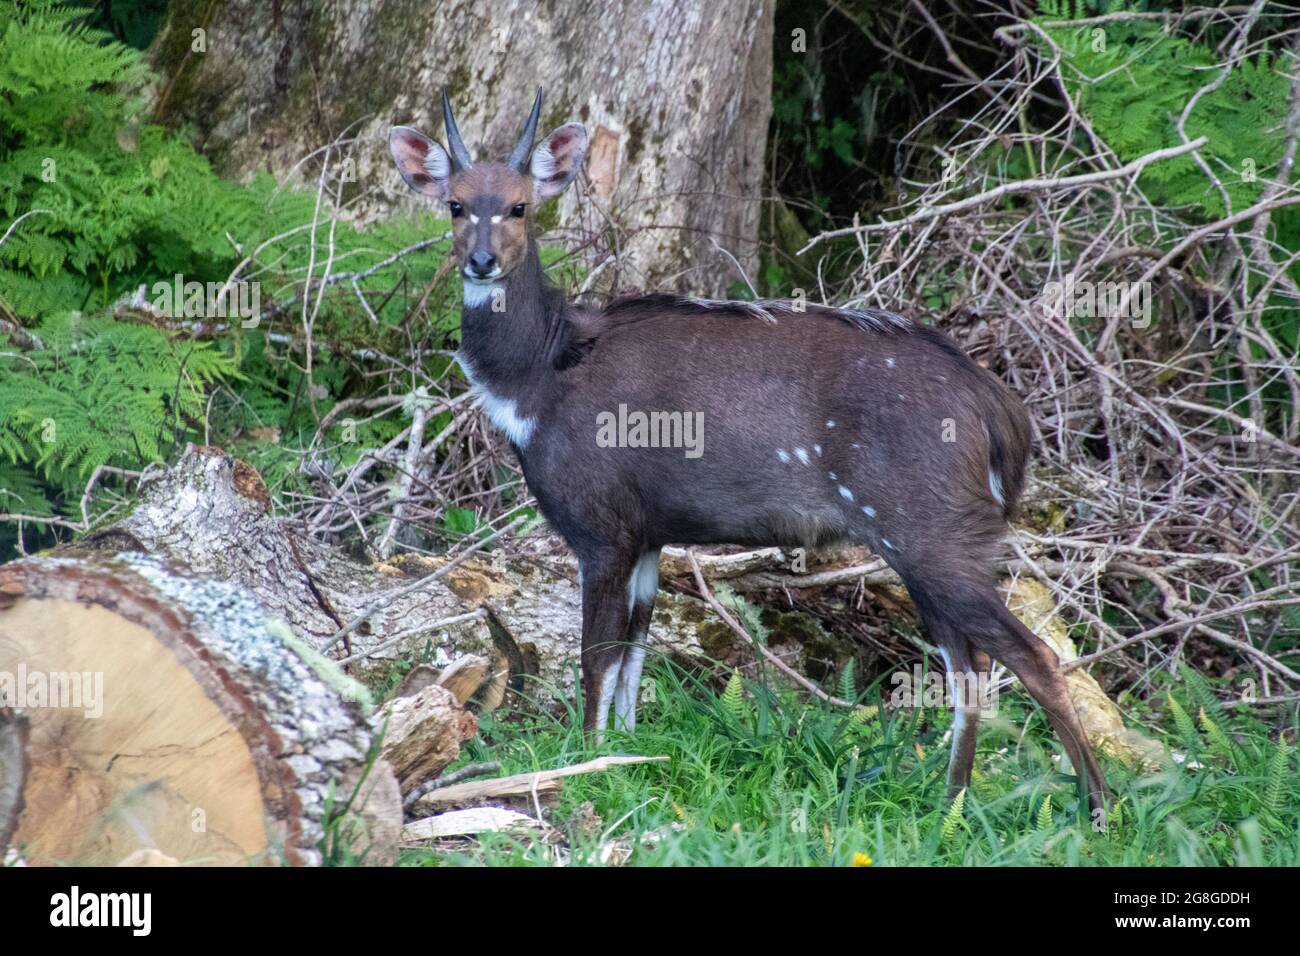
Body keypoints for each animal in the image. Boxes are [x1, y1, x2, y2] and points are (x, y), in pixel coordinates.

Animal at [388, 91, 1110, 813]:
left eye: (519, 206)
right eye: (455, 204)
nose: (482, 261)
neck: (539, 381)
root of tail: (1004, 415)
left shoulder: (601, 527)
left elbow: (598, 656)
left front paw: (585, 762)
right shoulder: (649, 534)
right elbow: (635, 653)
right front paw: (627, 755)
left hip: (931, 531)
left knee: (1032, 656)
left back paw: (1093, 807)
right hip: (931, 542)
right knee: (971, 663)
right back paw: (949, 801)